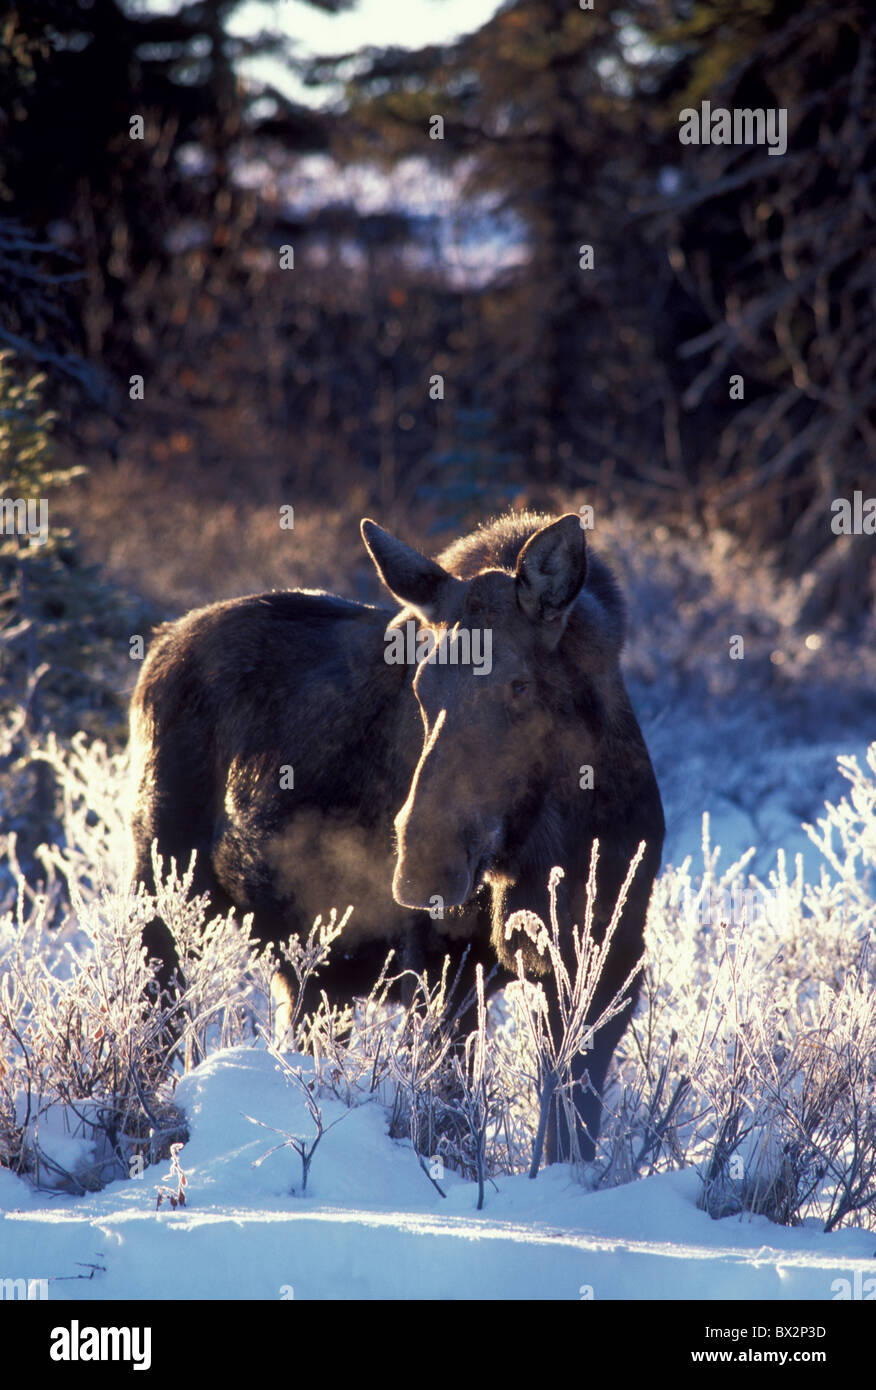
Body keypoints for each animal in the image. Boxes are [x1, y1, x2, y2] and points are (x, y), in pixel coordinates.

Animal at [128, 511, 665, 1161]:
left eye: (518, 685)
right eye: (421, 685)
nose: (424, 864)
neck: (561, 841)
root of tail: (160, 643)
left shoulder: (615, 963)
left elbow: (570, 1128)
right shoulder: (439, 965)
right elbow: (448, 1115)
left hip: (311, 963)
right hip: (162, 892)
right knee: (149, 1032)